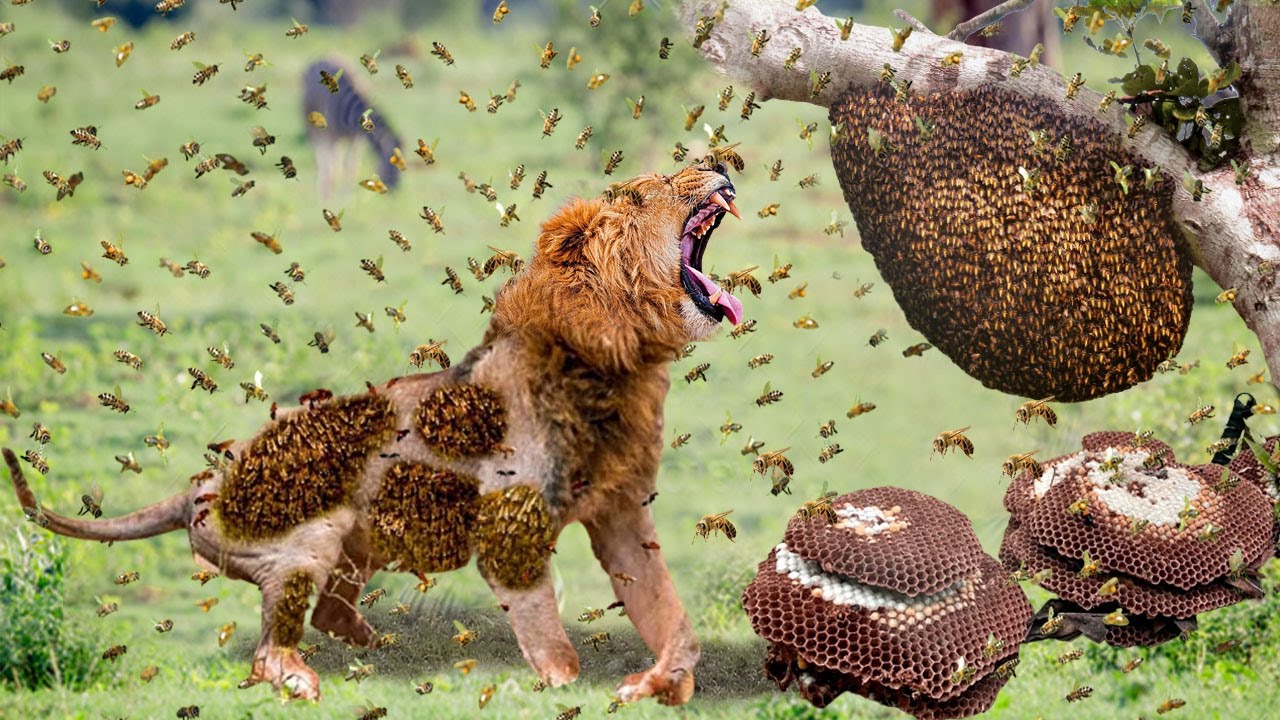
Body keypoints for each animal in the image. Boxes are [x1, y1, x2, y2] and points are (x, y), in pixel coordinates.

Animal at [5, 160, 744, 706]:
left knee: (326, 614)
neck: (612, 364)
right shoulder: (510, 526)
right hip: (306, 531)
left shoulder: (621, 513)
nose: (721, 165)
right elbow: (544, 625)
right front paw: (565, 686)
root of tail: (202, 483)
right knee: (269, 649)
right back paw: (306, 677)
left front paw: (664, 681)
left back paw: (373, 646)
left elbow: (668, 611)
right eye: (645, 191)